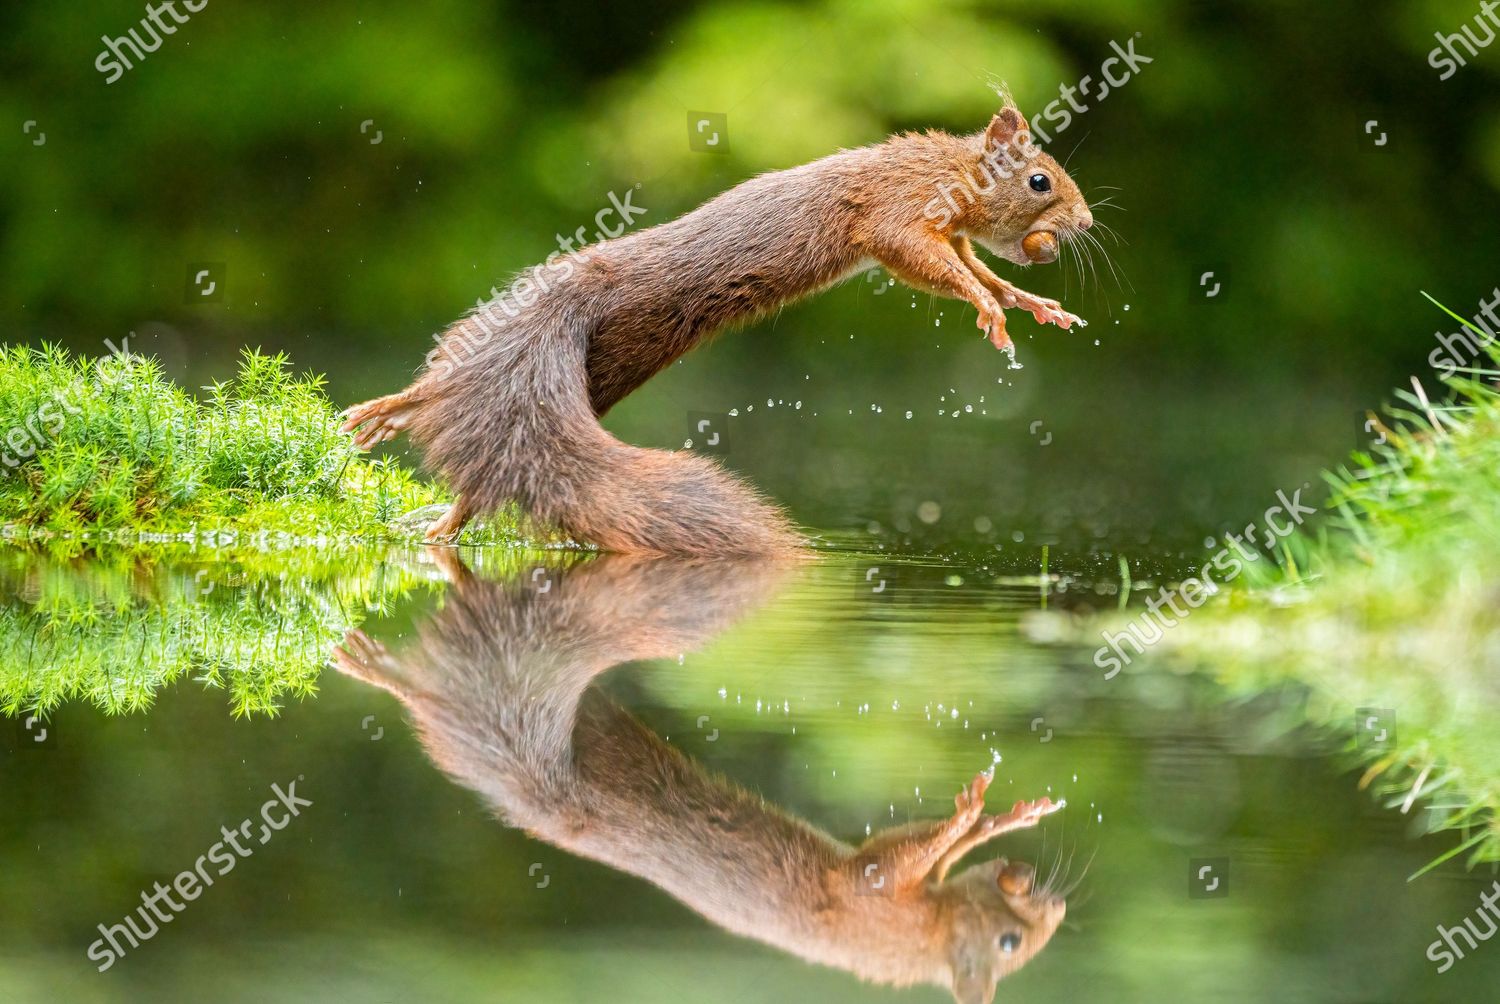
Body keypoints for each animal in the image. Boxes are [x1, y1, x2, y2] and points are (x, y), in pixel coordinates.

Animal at [333, 551, 1070, 1004]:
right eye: (1009, 943)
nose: (1058, 905)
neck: (916, 942)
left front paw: (1003, 815)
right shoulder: (868, 897)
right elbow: (895, 856)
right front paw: (970, 814)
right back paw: (368, 662)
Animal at [341, 104, 1094, 554]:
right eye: (1040, 181)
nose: (1086, 223)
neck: (949, 171)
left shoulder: (948, 235)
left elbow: (974, 269)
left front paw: (1030, 303)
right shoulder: (897, 211)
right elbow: (929, 261)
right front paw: (990, 308)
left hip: (610, 364)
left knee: (473, 457)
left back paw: (438, 508)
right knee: (445, 383)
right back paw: (387, 414)